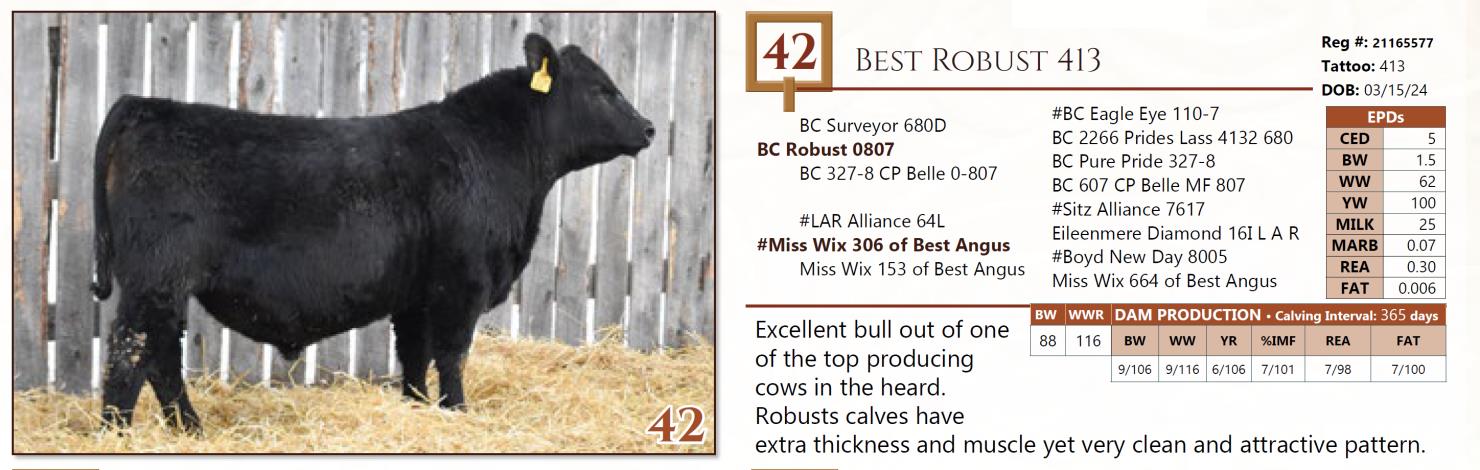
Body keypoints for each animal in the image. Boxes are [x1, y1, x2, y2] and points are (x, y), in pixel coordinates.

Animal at [89, 33, 653, 431]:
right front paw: (458, 414)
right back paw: (117, 434)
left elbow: (415, 357)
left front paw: (419, 409)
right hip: (155, 278)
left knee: (160, 355)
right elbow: (452, 355)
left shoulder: (417, 295)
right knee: (130, 351)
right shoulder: (460, 284)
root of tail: (147, 104)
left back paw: (189, 430)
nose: (648, 127)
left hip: (165, 286)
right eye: (603, 91)